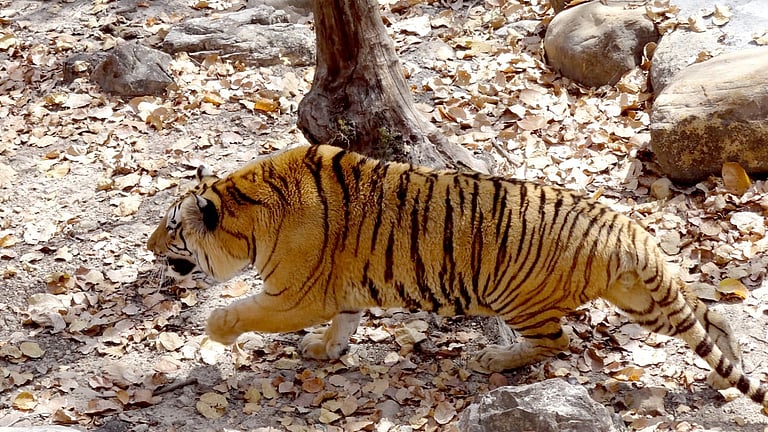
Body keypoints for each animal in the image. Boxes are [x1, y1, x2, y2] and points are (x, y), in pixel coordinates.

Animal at [147, 144, 768, 408]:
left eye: (172, 228)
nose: (148, 248)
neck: (248, 209)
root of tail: (622, 228)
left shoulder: (296, 294)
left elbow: (245, 310)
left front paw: (215, 330)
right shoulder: (337, 294)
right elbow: (345, 322)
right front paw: (326, 352)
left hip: (522, 297)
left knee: (557, 341)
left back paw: (491, 358)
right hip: (642, 293)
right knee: (711, 313)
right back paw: (724, 371)